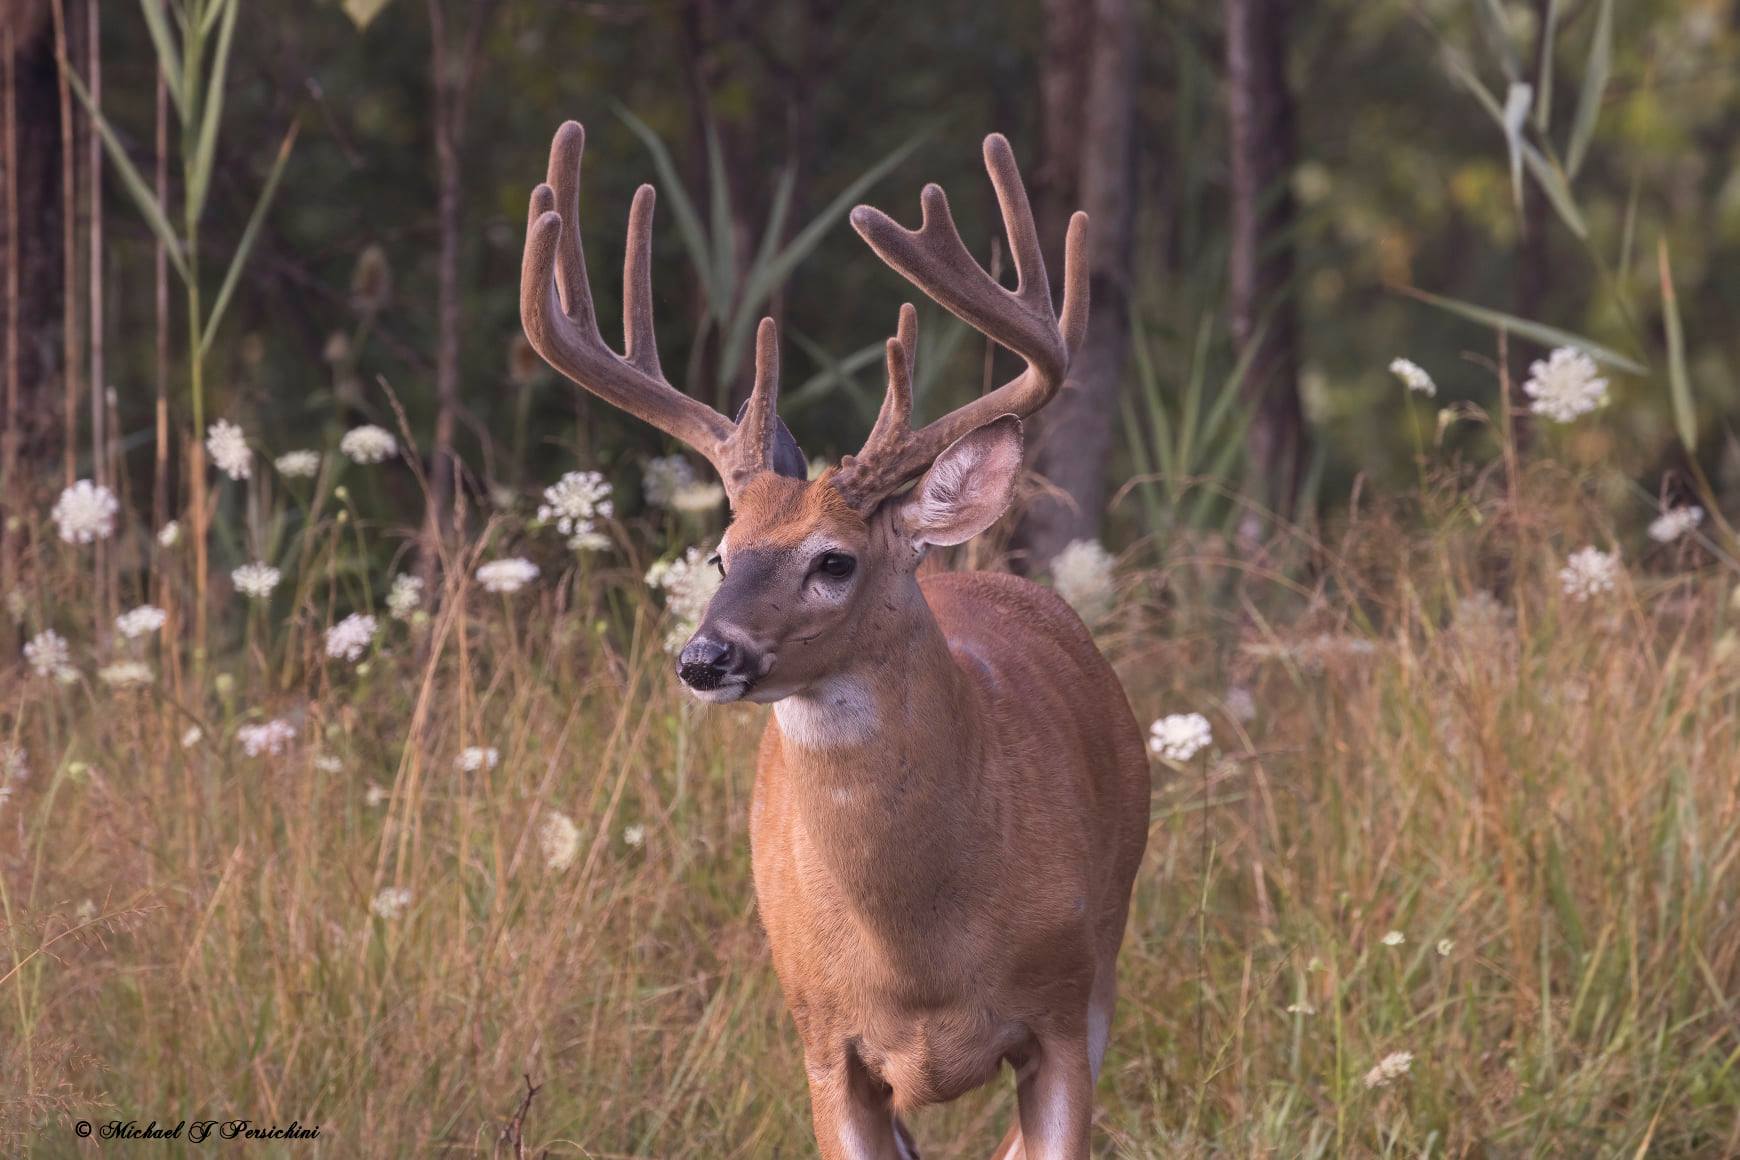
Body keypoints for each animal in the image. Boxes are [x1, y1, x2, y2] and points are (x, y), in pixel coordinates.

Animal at [521, 120, 1150, 1160]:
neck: (921, 956)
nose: (704, 658)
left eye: (833, 561)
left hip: (1107, 944)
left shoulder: (1064, 1015)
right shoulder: (825, 1043)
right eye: (723, 553)